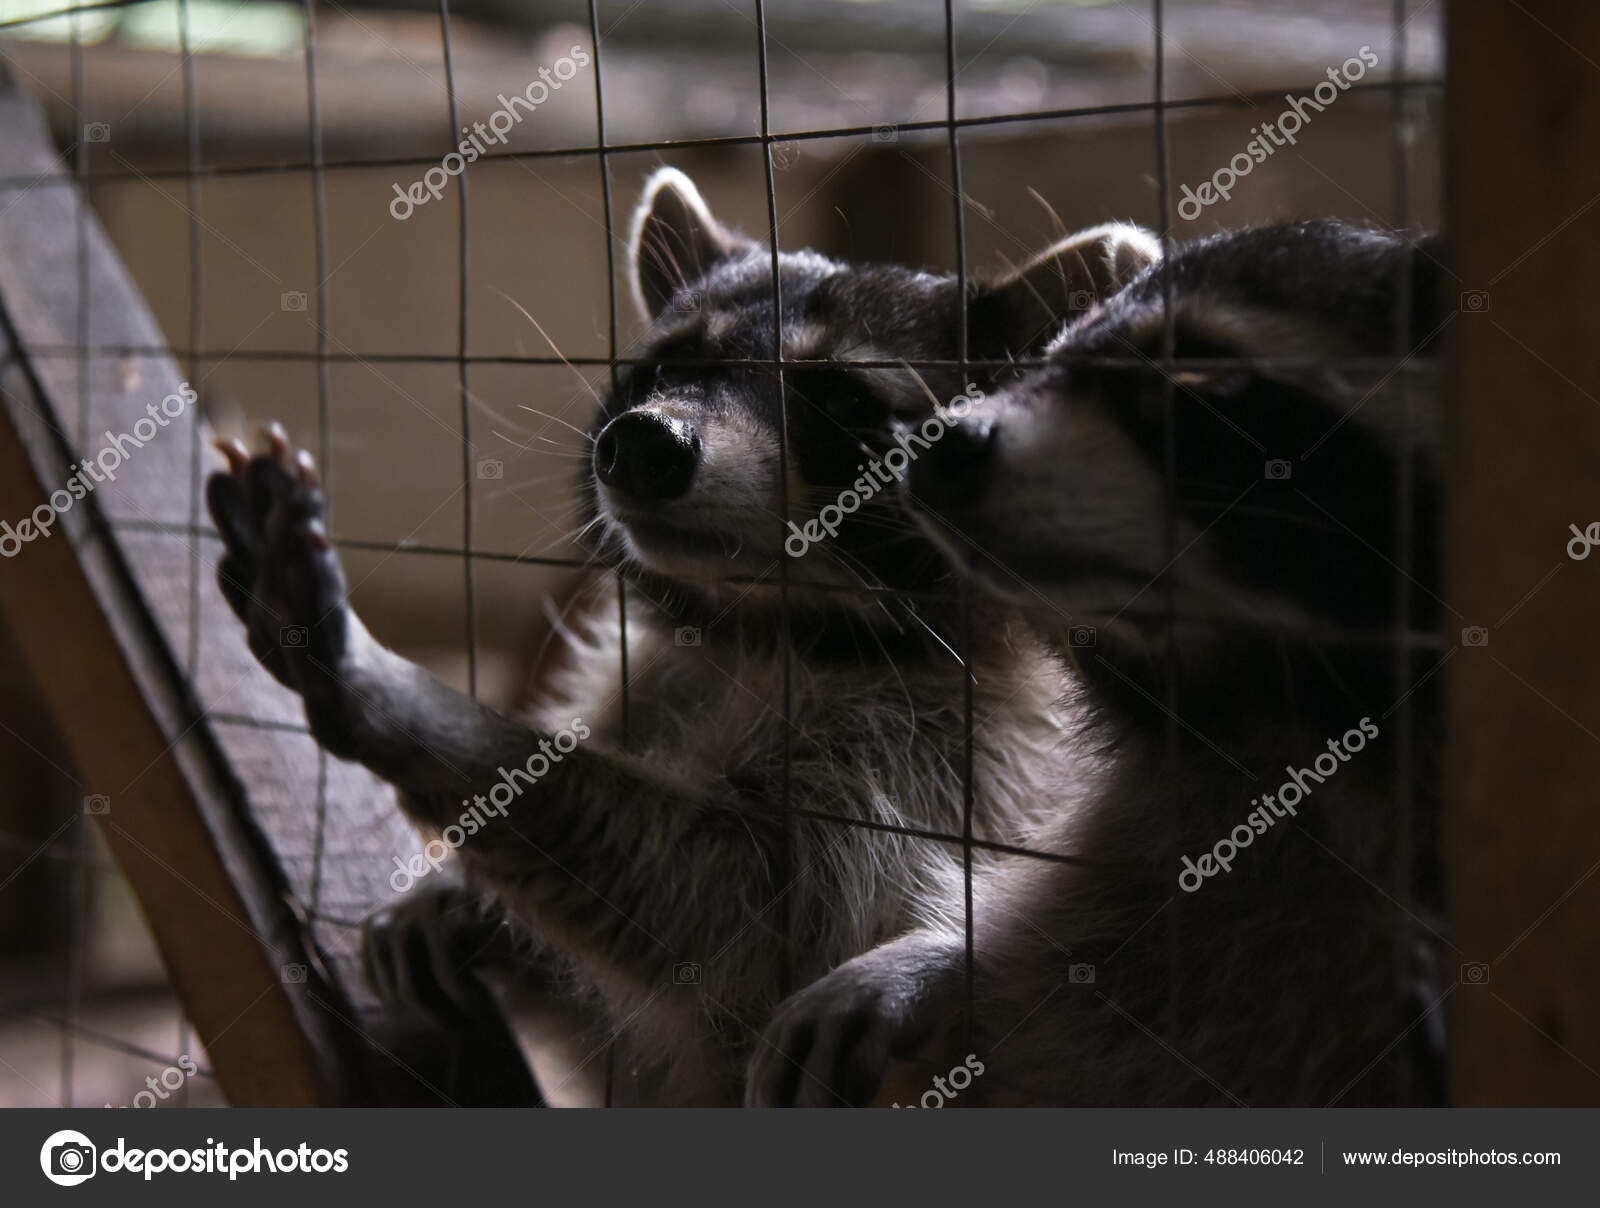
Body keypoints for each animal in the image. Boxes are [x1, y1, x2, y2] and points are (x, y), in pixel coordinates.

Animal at [204, 169, 1159, 1105]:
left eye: (840, 399)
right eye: (665, 368)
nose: (642, 445)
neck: (754, 629)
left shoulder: (951, 764)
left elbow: (750, 919)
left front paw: (412, 707)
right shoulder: (650, 680)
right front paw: (461, 900)